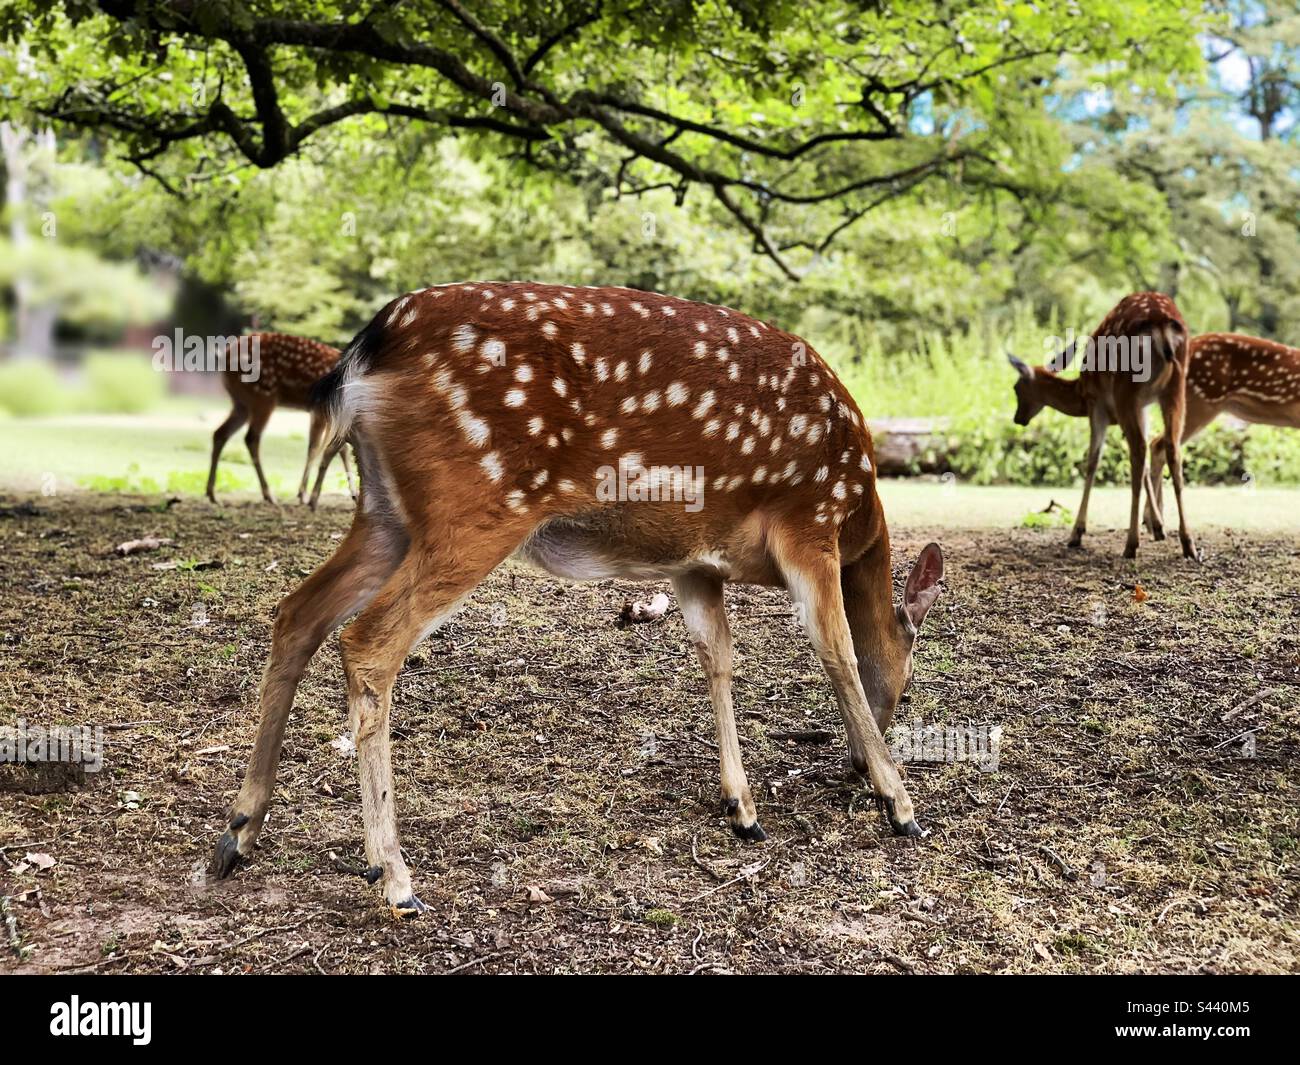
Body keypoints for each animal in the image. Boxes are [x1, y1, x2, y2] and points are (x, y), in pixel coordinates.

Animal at [206, 332, 357, 509]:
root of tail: (224, 355)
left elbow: (339, 449)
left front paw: (354, 494)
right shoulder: (320, 411)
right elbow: (315, 448)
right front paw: (303, 495)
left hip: (241, 403)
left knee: (220, 433)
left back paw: (212, 494)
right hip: (263, 396)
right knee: (251, 438)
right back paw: (269, 495)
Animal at [1007, 292, 1199, 560]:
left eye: (1016, 388)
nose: (1018, 418)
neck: (1079, 391)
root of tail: (1161, 325)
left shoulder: (1097, 404)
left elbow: (1092, 460)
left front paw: (1077, 533)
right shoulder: (1142, 407)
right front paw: (1159, 527)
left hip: (1125, 387)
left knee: (1138, 451)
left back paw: (1131, 544)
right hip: (1175, 388)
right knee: (1173, 448)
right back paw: (1188, 543)